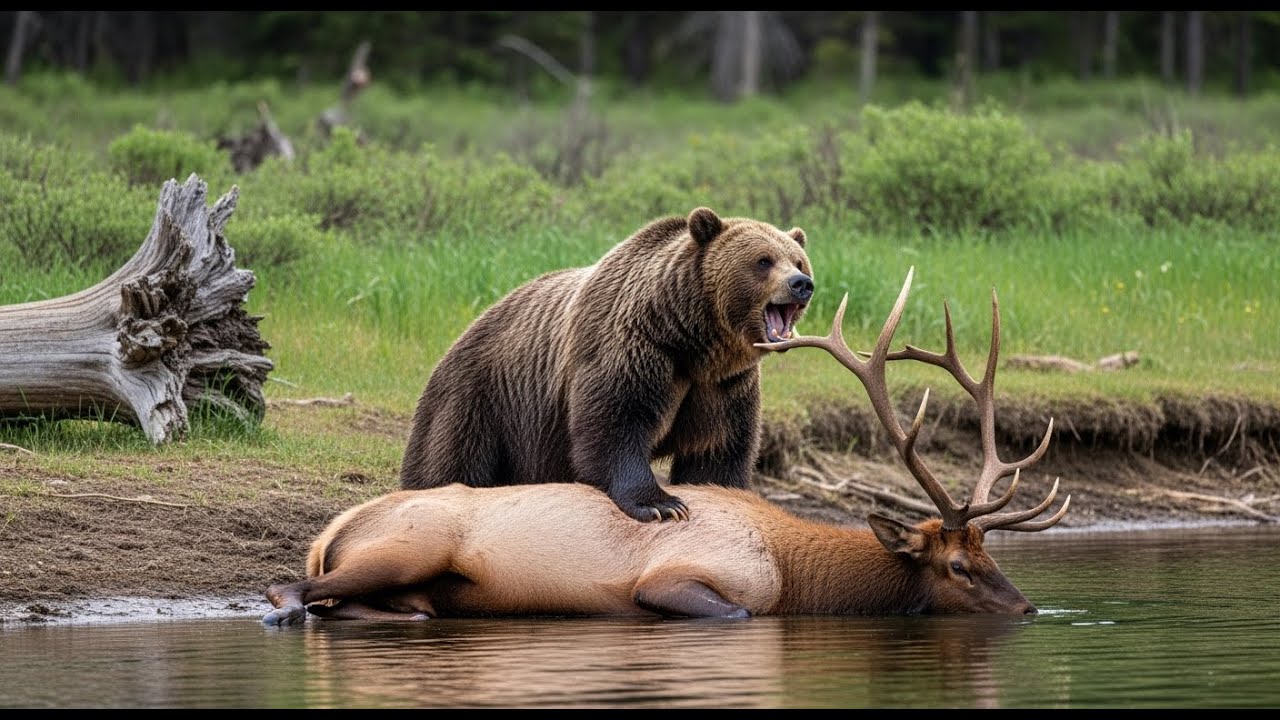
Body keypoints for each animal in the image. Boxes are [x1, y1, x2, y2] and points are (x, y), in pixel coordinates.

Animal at [399, 207, 813, 522]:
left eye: (798, 260)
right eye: (763, 261)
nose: (801, 283)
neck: (693, 341)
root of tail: (462, 335)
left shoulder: (725, 384)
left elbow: (717, 449)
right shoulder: (634, 347)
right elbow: (615, 423)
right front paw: (661, 504)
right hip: (480, 399)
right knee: (449, 463)